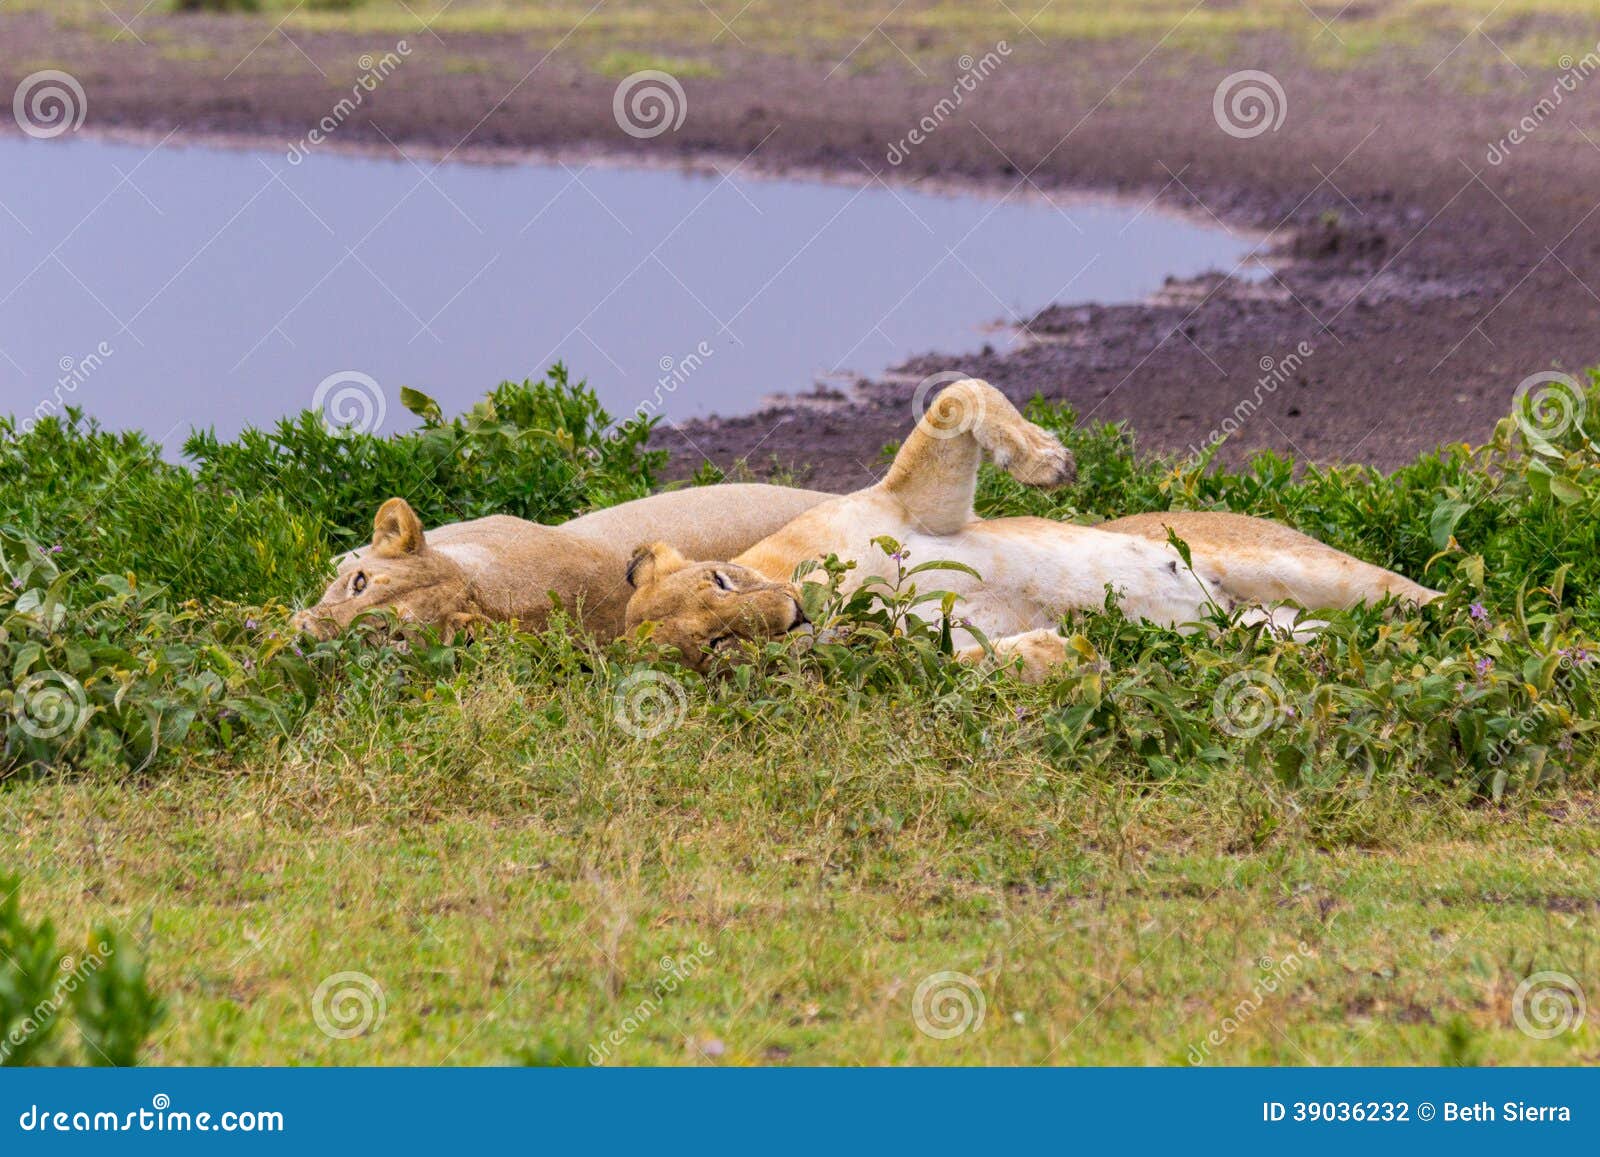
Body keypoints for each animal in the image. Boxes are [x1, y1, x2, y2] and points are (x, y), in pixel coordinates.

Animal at [623, 379, 1440, 680]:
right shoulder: (916, 648)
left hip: (1303, 568)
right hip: (1277, 630)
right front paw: (1067, 651)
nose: (793, 619)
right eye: (717, 648)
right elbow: (975, 661)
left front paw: (1050, 461)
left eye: (721, 579)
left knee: (1418, 596)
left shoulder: (914, 506)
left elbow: (958, 394)